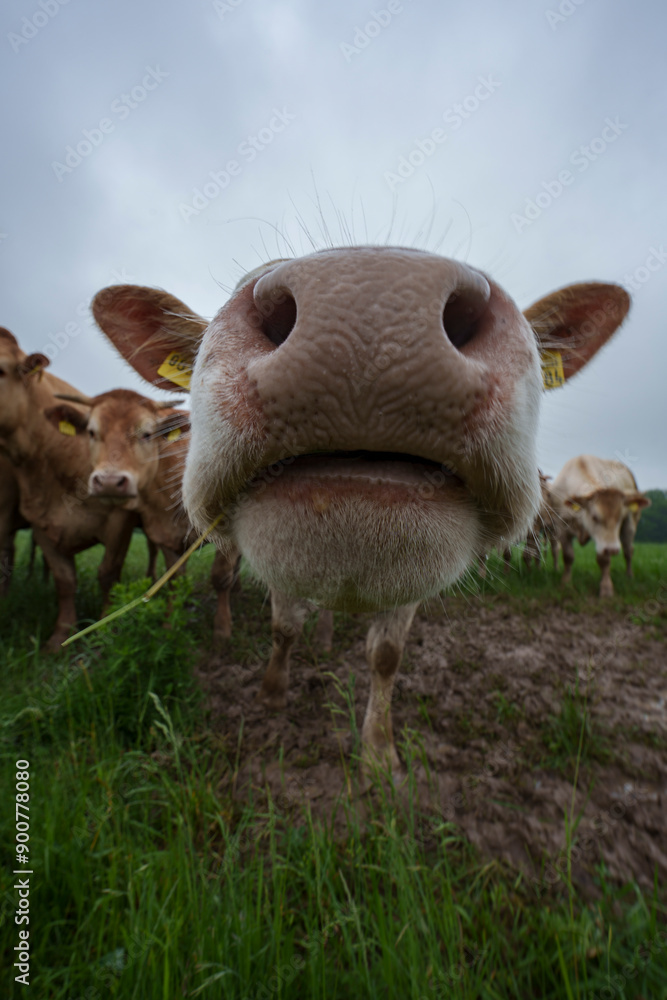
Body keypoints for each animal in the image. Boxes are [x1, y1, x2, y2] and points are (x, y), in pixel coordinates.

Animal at [0, 327, 137, 649]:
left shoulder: (120, 519)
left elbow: (108, 575)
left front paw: (104, 628)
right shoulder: (41, 522)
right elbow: (64, 580)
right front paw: (61, 634)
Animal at [45, 388, 241, 646]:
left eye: (147, 434)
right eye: (92, 432)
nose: (110, 482)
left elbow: (220, 576)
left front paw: (222, 629)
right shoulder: (164, 534)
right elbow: (174, 580)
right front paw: (169, 624)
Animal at [550, 454, 650, 597]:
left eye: (619, 518)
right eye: (594, 517)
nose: (612, 549)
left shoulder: (606, 540)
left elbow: (604, 560)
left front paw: (606, 588)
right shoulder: (560, 528)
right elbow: (568, 556)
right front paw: (565, 583)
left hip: (630, 524)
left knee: (628, 550)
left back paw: (629, 575)